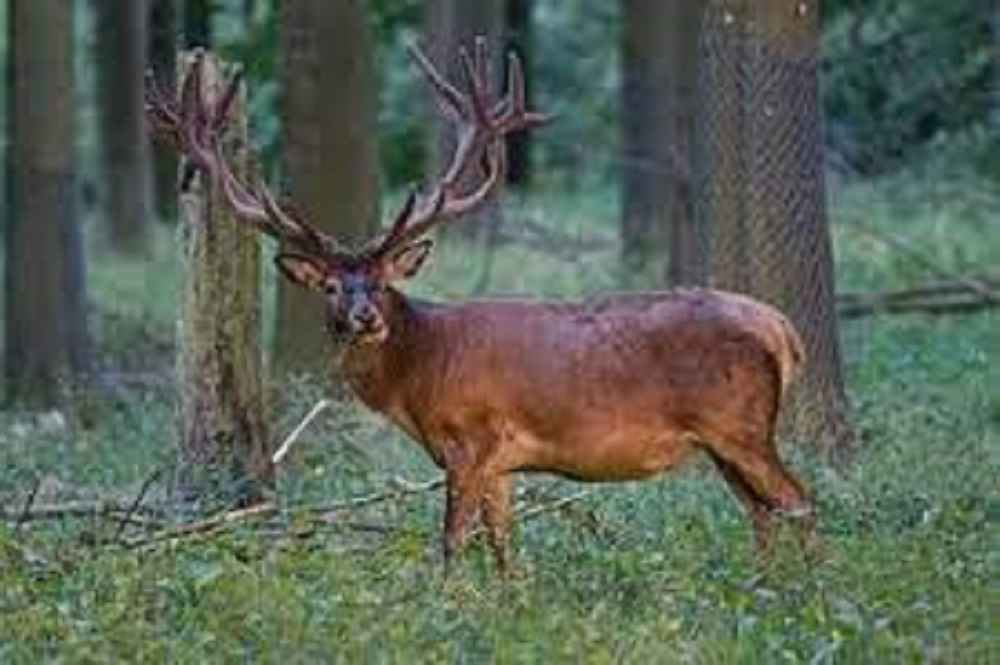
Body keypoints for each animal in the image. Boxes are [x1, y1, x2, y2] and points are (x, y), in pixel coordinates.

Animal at [146, 39, 816, 576]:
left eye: (382, 282)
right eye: (332, 286)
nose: (366, 318)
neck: (419, 375)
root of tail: (783, 329)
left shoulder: (469, 441)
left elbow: (451, 542)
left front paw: (448, 609)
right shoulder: (500, 463)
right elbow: (502, 548)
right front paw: (510, 607)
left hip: (740, 423)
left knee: (800, 503)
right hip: (725, 440)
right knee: (764, 513)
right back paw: (765, 590)